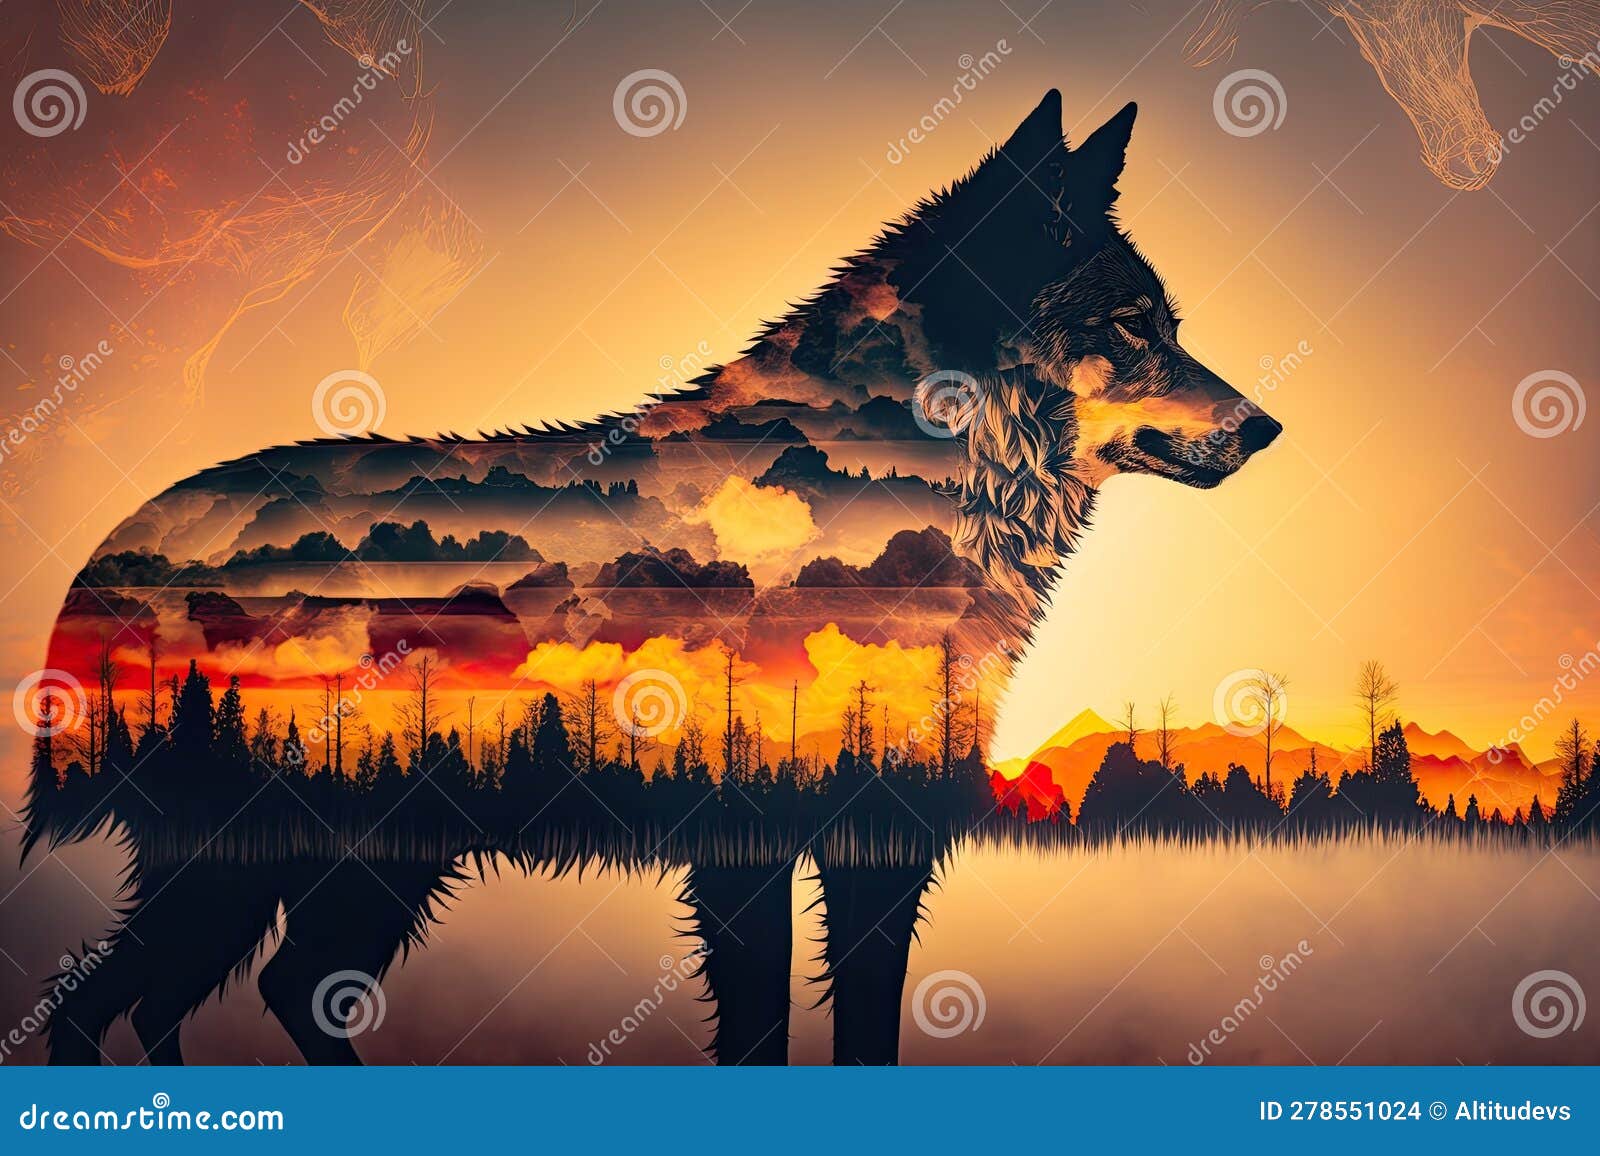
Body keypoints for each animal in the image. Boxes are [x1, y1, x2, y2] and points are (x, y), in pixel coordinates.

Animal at [26, 91, 1280, 1065]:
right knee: (108, 1009)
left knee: (229, 992)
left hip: (340, 869)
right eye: (1131, 327)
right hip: (265, 868)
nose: (1265, 429)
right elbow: (764, 1037)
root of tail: (107, 547)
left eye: (1169, 324)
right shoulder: (748, 843)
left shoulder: (880, 837)